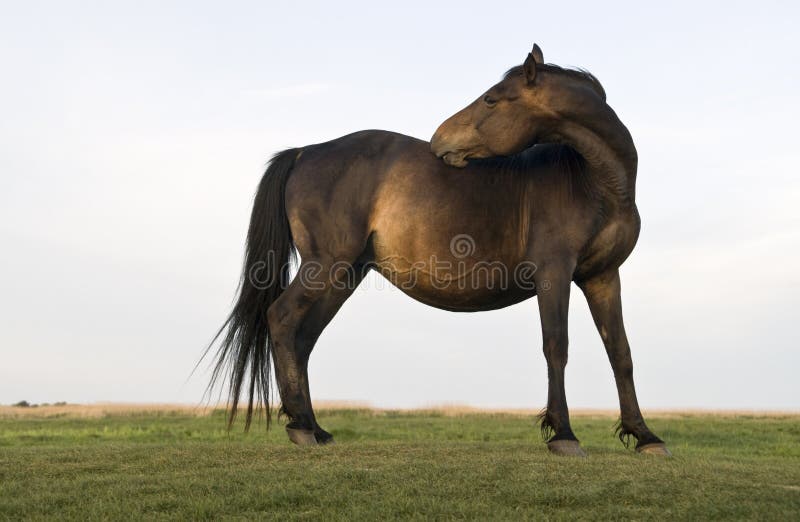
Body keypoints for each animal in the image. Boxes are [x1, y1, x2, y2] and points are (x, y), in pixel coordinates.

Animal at [207, 44, 669, 457]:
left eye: (491, 99)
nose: (439, 139)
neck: (594, 181)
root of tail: (305, 151)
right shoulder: (554, 273)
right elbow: (556, 346)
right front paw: (564, 435)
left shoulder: (602, 276)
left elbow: (620, 353)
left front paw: (644, 436)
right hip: (324, 266)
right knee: (282, 320)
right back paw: (302, 427)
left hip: (344, 275)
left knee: (303, 339)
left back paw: (315, 428)